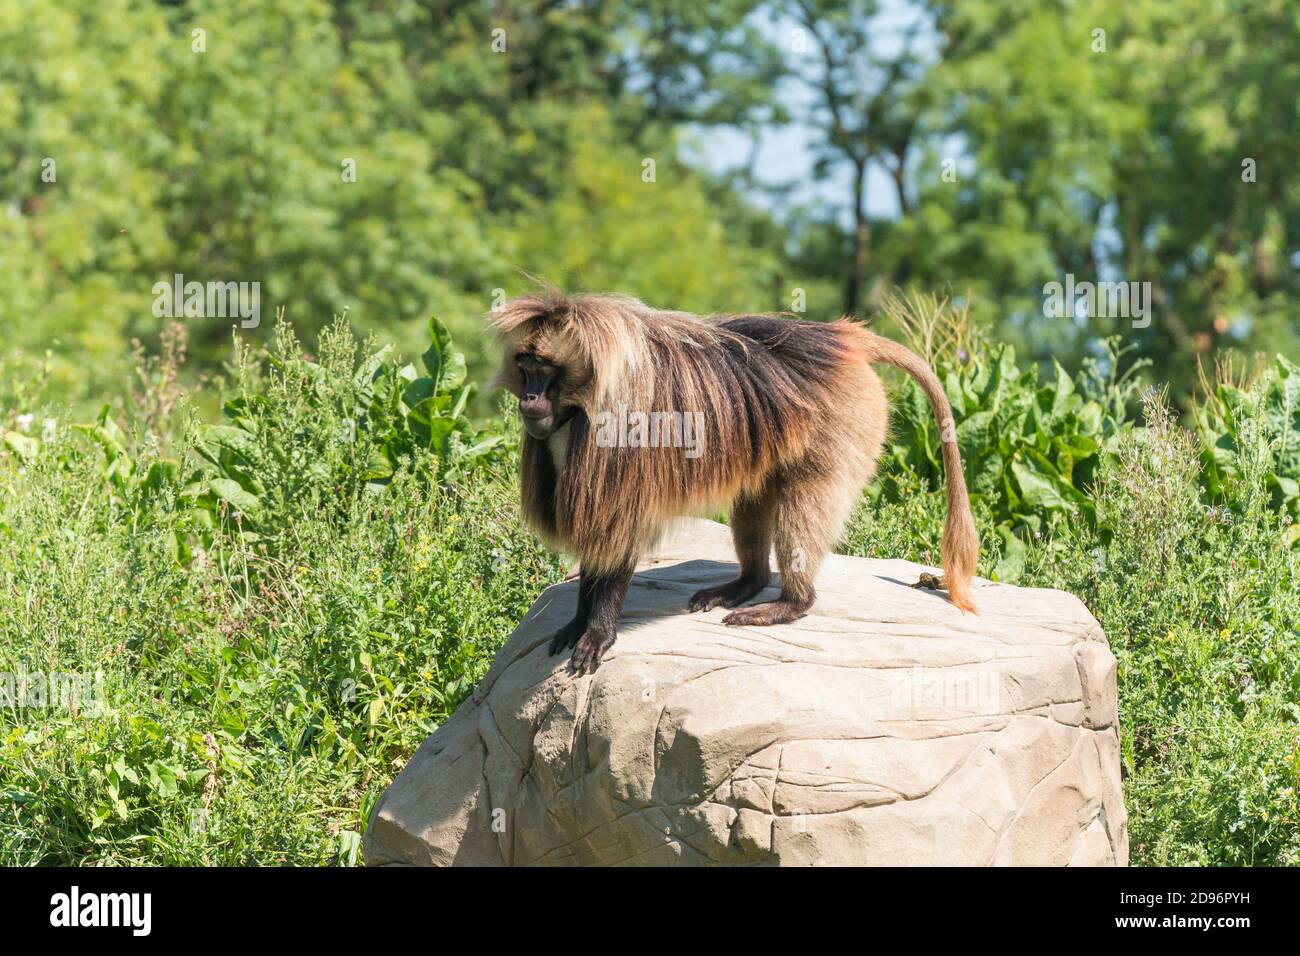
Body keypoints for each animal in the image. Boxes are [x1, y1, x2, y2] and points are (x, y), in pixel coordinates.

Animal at [489, 291, 979, 674]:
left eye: (545, 370)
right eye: (525, 366)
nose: (529, 402)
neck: (585, 401)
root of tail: (839, 337)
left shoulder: (620, 441)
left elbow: (616, 534)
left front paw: (598, 632)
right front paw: (577, 623)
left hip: (848, 418)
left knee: (805, 507)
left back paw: (789, 604)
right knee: (755, 503)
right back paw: (744, 585)